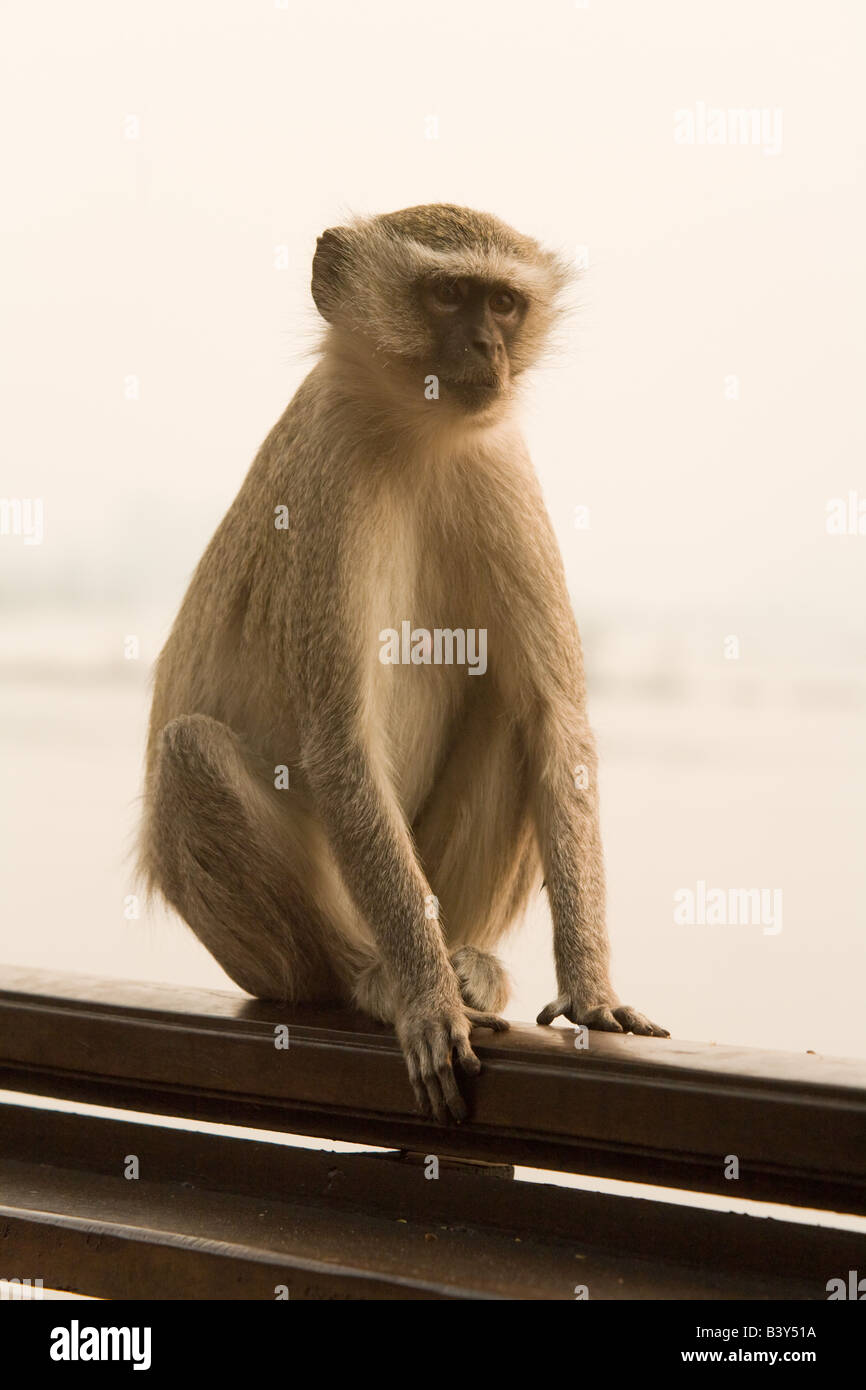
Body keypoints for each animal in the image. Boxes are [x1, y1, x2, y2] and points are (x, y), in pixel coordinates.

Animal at [138, 203, 668, 1126]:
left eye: (503, 303)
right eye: (448, 295)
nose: (487, 350)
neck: (421, 435)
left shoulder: (502, 465)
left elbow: (554, 721)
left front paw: (591, 989)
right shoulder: (330, 484)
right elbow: (341, 747)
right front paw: (424, 1000)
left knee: (513, 713)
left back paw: (467, 963)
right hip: (290, 947)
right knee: (189, 750)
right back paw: (375, 977)